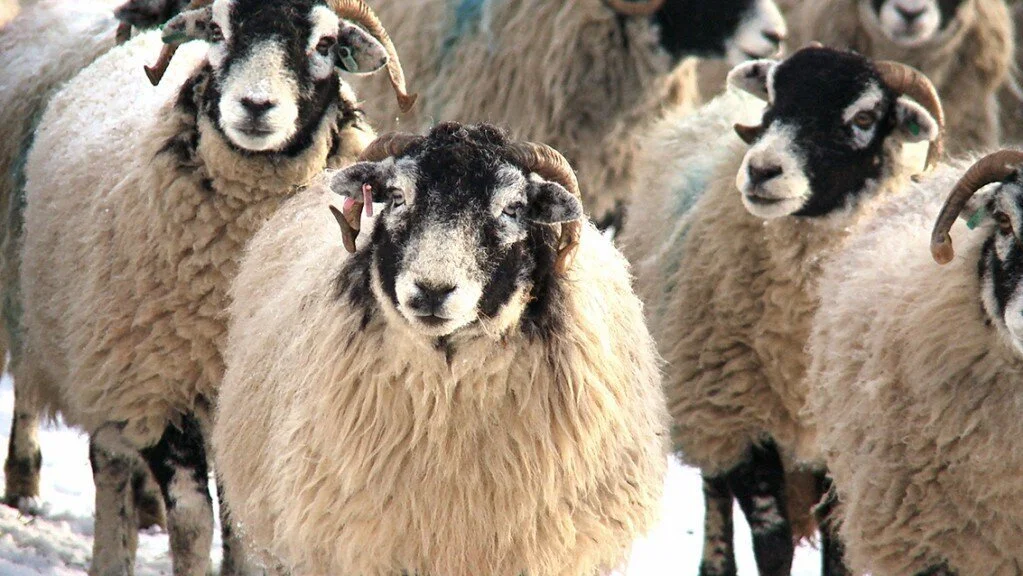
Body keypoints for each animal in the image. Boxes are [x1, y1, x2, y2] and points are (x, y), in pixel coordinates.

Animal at [619, 45, 946, 576]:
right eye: (773, 99)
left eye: (864, 117)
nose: (761, 170)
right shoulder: (742, 417)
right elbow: (773, 546)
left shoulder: (840, 443)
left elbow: (839, 553)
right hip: (702, 393)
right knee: (714, 489)